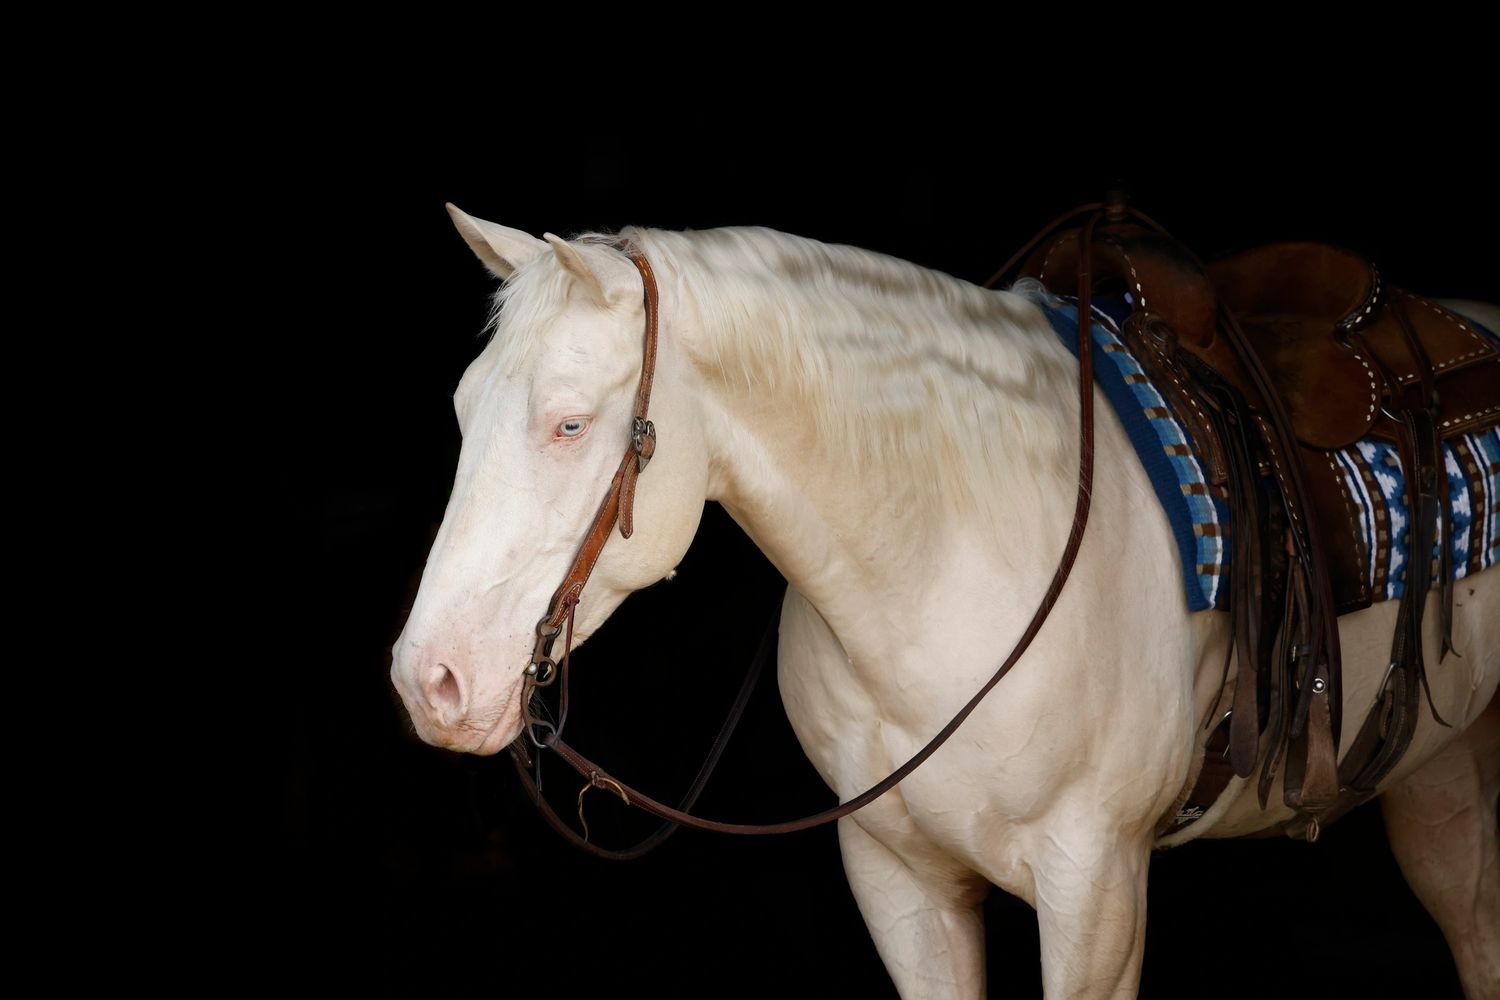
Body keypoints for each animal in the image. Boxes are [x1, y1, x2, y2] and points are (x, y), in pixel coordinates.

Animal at [390, 204, 1500, 999]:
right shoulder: (899, 883)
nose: (429, 681)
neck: (950, 552)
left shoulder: (1096, 891)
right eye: (461, 409)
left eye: (571, 425)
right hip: (1439, 778)